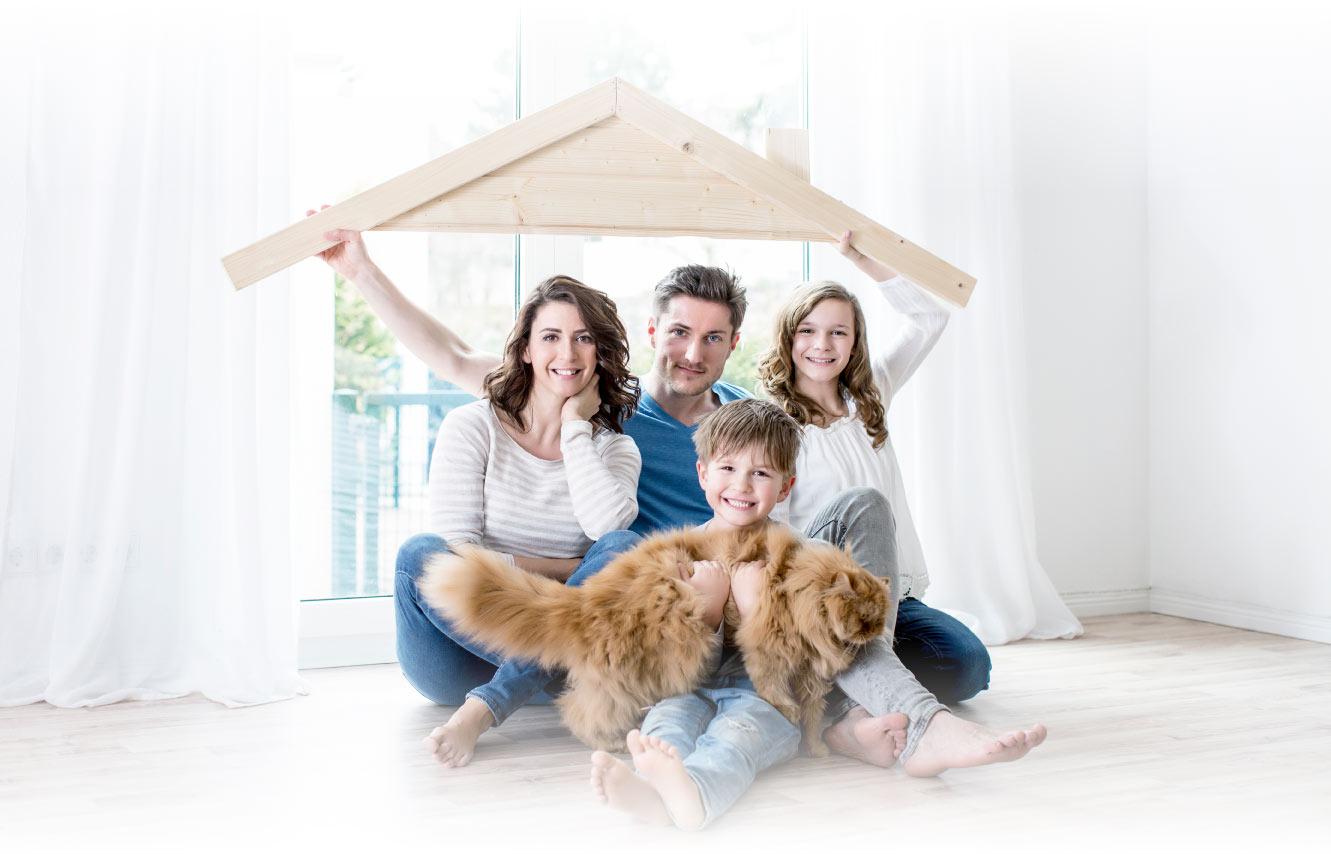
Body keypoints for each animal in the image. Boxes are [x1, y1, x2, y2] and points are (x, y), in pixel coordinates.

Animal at [420, 518, 889, 750]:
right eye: (867, 616)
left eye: (880, 617)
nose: (879, 631)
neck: (795, 583)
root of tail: (586, 600)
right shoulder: (767, 647)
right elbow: (777, 690)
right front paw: (788, 715)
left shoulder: (810, 674)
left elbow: (812, 713)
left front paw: (816, 750)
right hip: (657, 661)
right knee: (580, 712)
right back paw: (614, 745)